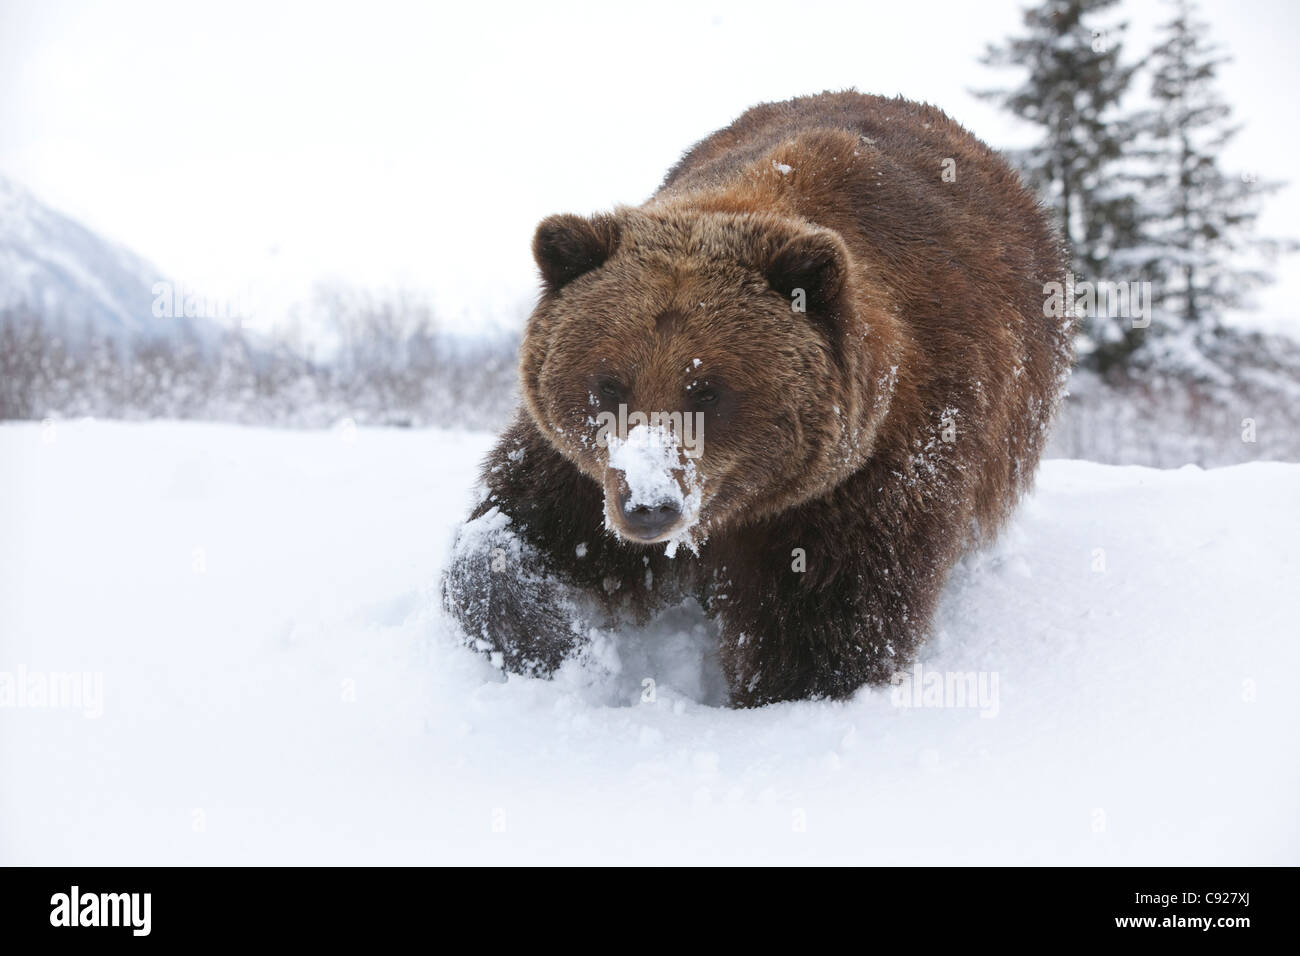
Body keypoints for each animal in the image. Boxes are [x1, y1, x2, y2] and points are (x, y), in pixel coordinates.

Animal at [442, 90, 1073, 706]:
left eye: (707, 390)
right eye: (608, 383)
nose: (649, 506)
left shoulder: (874, 474)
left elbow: (823, 622)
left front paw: (781, 690)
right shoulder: (584, 469)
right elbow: (513, 531)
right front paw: (553, 640)